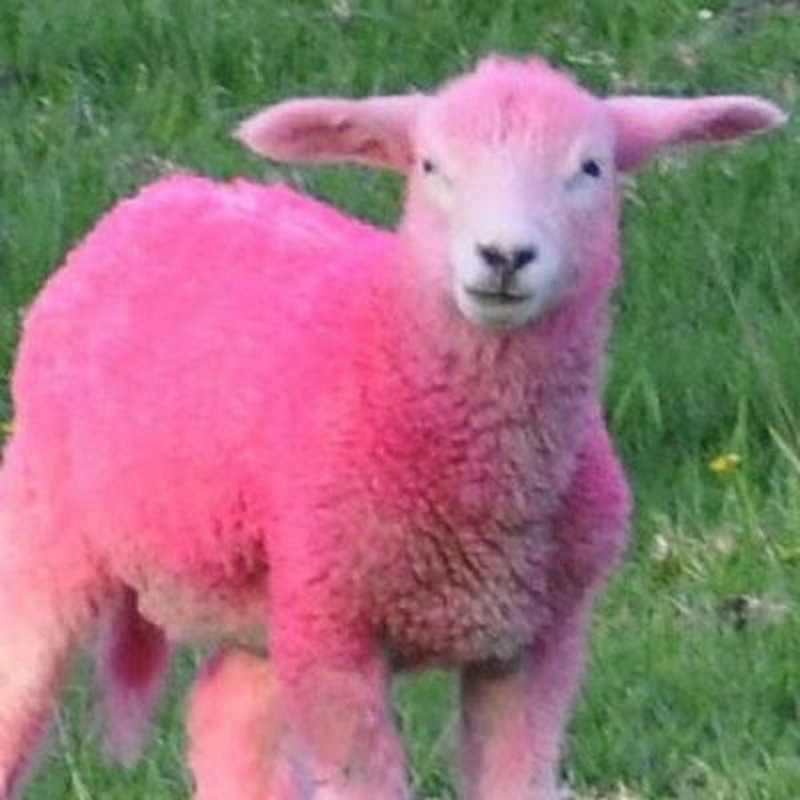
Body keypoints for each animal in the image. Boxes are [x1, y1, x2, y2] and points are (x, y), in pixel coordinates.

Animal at [0, 54, 785, 800]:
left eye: (591, 168)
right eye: (431, 166)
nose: (504, 257)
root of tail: (163, 193)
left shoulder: (538, 645)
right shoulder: (336, 635)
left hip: (266, 610)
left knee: (228, 722)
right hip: (49, 521)